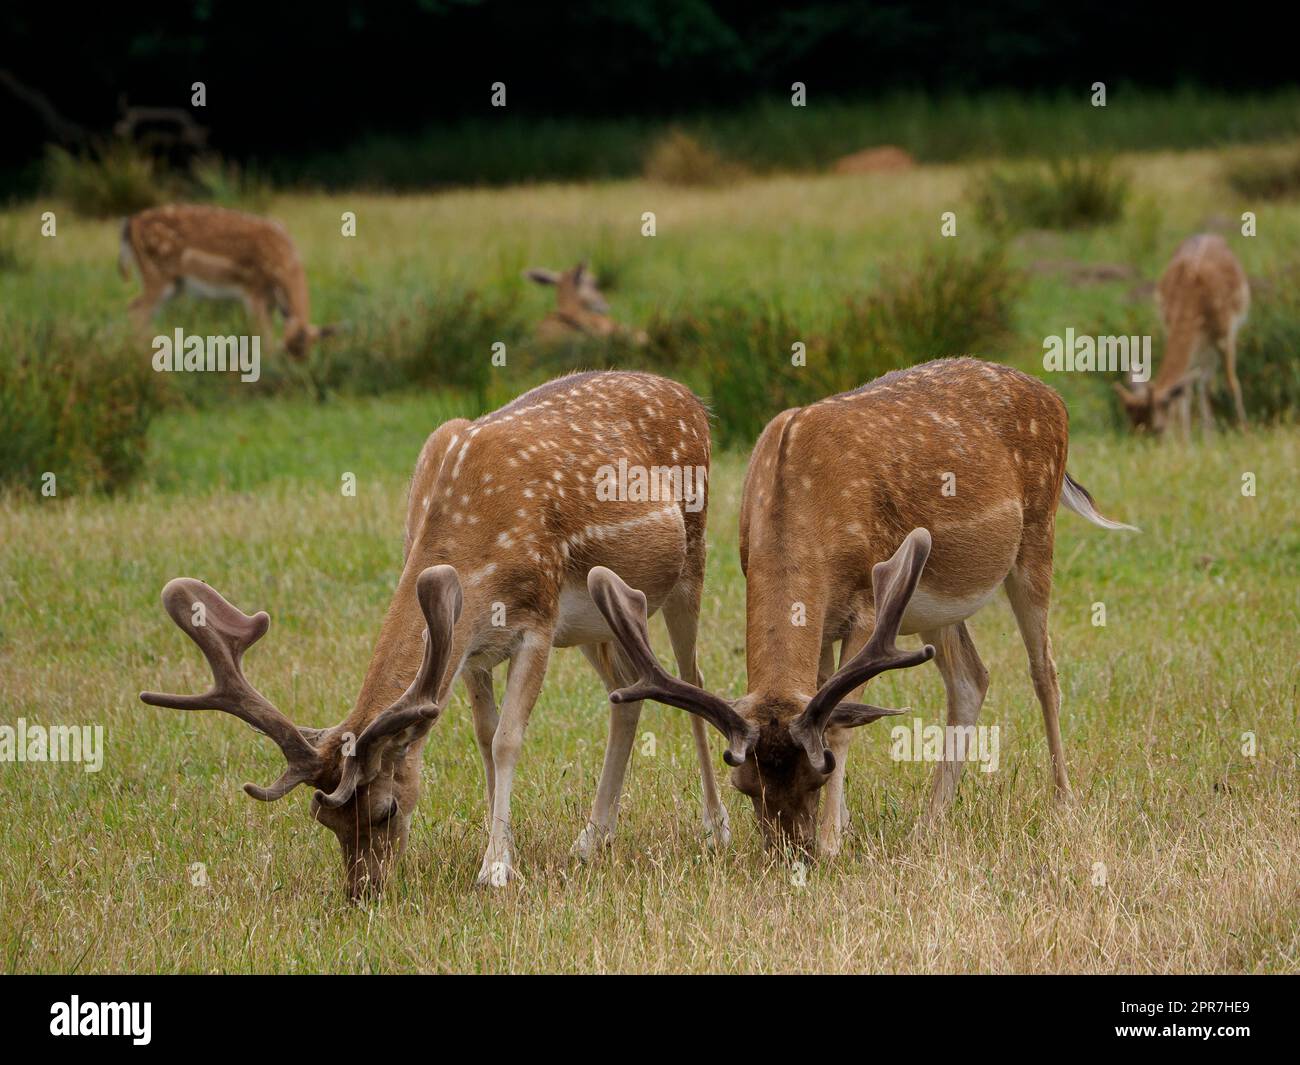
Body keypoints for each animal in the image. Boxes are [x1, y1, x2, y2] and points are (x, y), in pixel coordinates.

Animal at [120, 204, 334, 359]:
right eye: (288, 354)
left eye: (307, 355)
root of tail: (130, 224)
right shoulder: (252, 290)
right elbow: (264, 336)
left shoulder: (271, 299)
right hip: (156, 275)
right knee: (136, 309)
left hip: (172, 284)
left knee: (139, 310)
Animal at [139, 370, 727, 896]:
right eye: (325, 821)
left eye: (385, 810)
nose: (363, 891)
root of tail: (695, 400)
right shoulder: (469, 649)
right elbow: (485, 738)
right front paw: (503, 850)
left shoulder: (538, 619)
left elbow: (509, 739)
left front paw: (494, 872)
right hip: (598, 624)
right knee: (626, 693)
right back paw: (592, 837)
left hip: (691, 560)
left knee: (691, 674)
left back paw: (714, 825)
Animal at [587, 357, 1137, 855]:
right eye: (744, 785)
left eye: (817, 774)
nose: (790, 851)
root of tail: (1053, 396)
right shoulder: (821, 617)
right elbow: (830, 700)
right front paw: (845, 826)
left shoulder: (868, 603)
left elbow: (841, 724)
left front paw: (834, 838)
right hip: (934, 603)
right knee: (971, 677)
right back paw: (929, 823)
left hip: (1037, 535)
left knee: (1044, 671)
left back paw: (1063, 806)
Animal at [1113, 234, 1250, 438]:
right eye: (1131, 428)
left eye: (1158, 428)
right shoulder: (1170, 327)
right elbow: (1184, 391)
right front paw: (1186, 441)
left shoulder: (1226, 332)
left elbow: (1232, 382)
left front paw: (1246, 434)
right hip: (1202, 350)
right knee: (1202, 383)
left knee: (1208, 382)